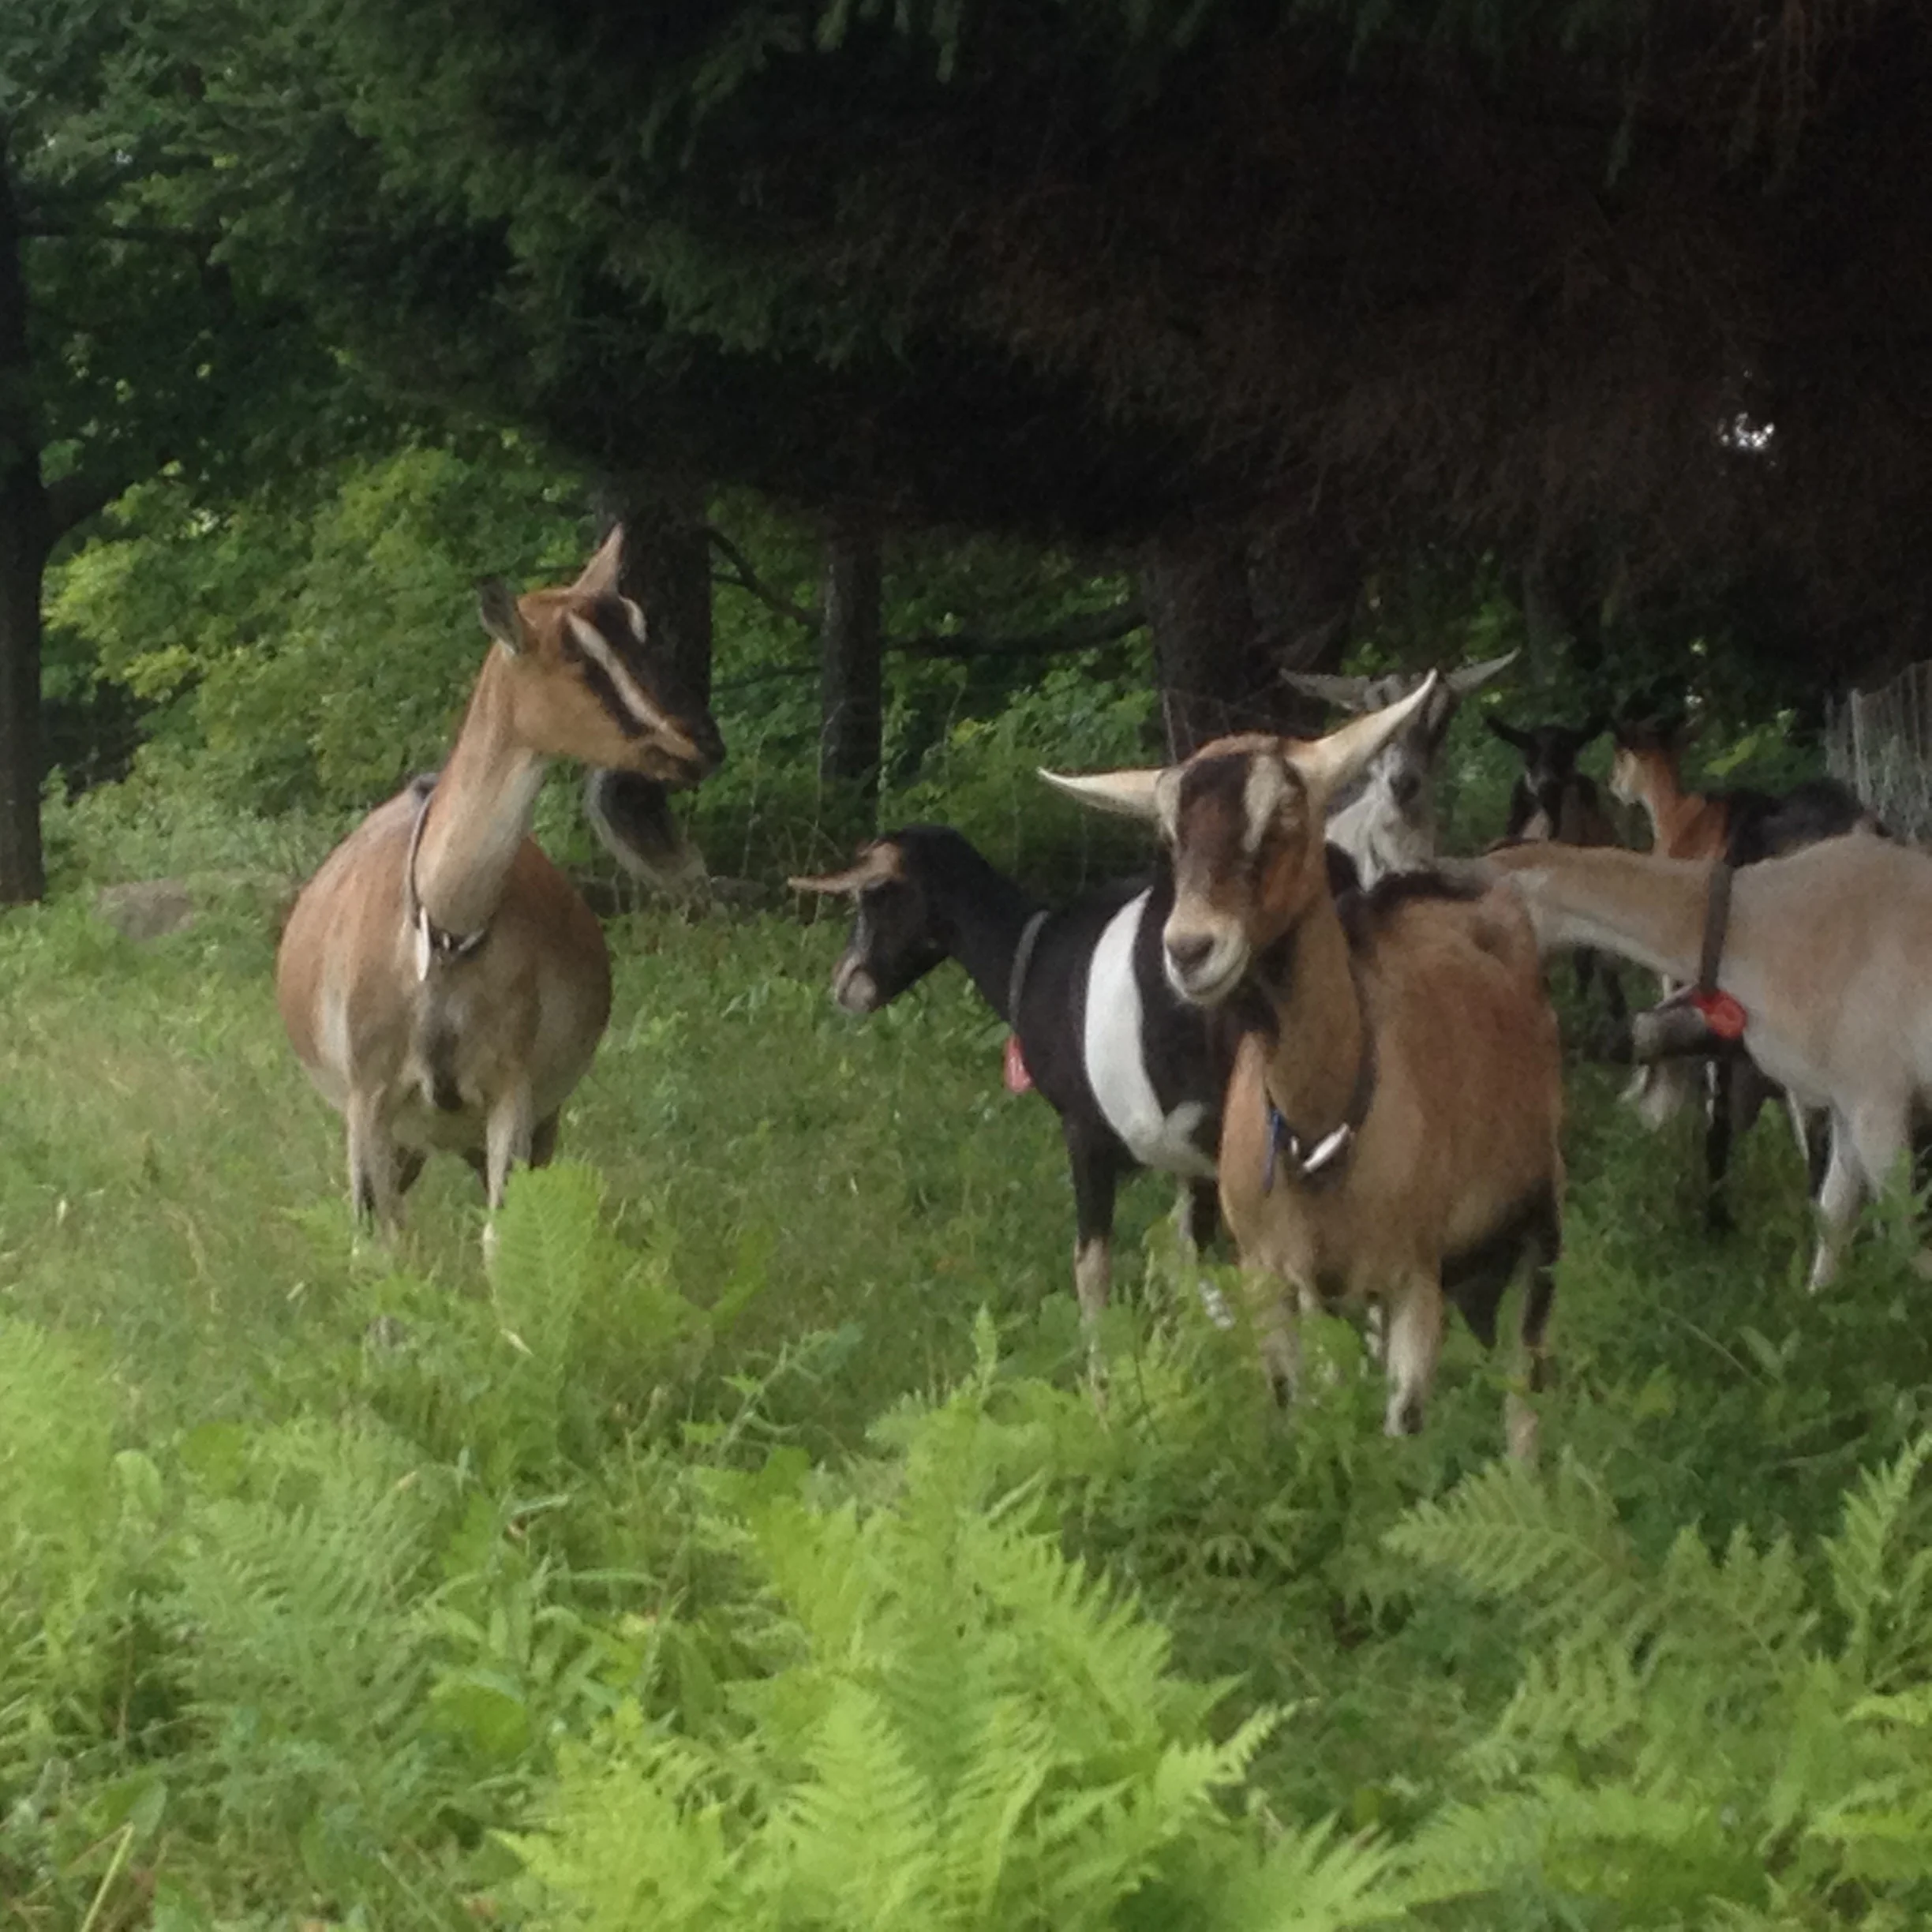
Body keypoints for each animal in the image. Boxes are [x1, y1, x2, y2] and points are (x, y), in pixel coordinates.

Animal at [276, 527, 723, 1233]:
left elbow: (501, 1234)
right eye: (575, 657)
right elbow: (383, 1240)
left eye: (639, 625)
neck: (443, 932)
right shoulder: (369, 1099)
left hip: (533, 1121)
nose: (701, 743)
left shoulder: (513, 1091)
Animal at [1479, 832, 1927, 1289]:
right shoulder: (1845, 1098)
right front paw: (1818, 1294)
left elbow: (1904, 1225)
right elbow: (1834, 1213)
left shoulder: (1878, 1098)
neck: (1753, 928)